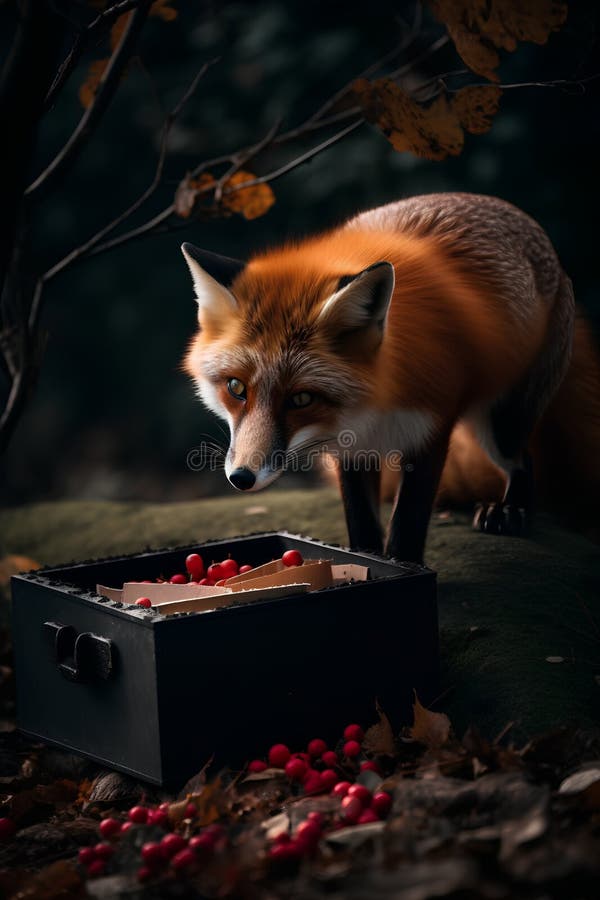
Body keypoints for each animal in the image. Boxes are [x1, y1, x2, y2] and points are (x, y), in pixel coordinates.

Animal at [181, 193, 600, 563]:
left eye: (301, 398)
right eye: (236, 388)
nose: (242, 478)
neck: (373, 404)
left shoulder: (431, 429)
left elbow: (407, 524)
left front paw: (405, 568)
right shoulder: (349, 448)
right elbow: (363, 527)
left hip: (501, 424)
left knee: (523, 459)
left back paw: (511, 510)